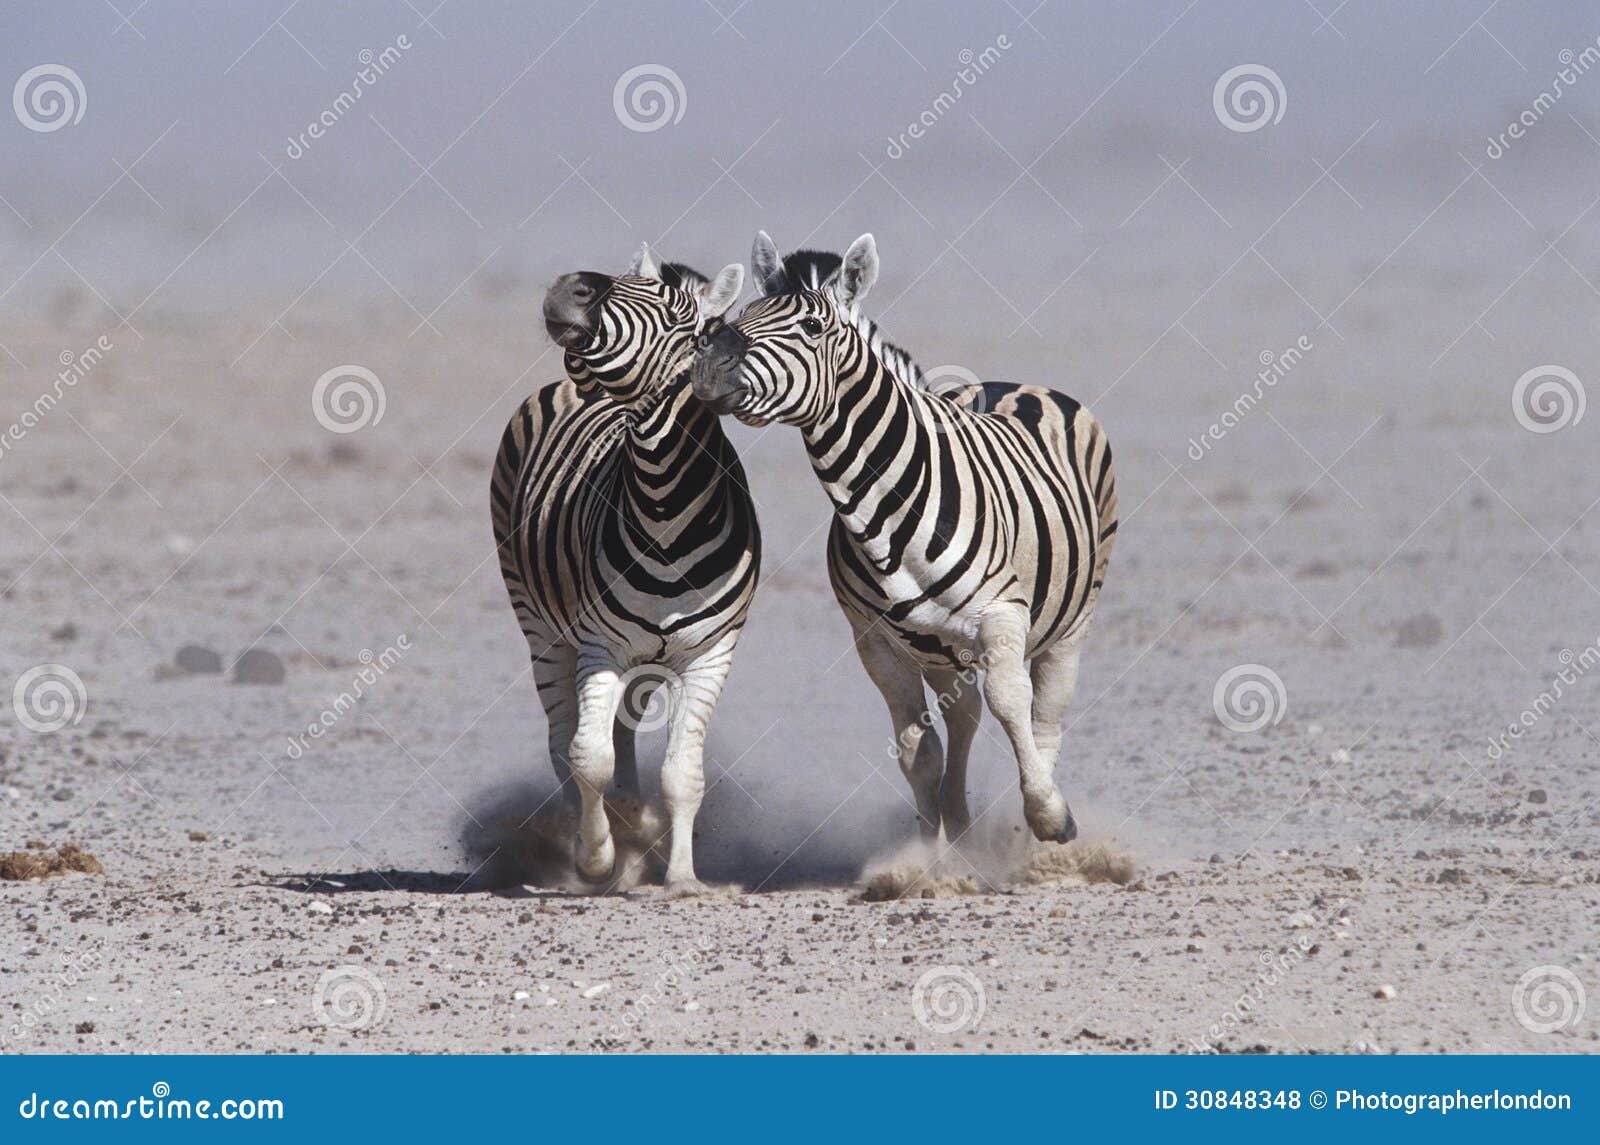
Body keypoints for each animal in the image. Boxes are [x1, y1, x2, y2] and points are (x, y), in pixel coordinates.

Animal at [491, 244, 757, 894]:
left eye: (672, 310)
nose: (571, 285)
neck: (664, 506)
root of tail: (566, 384)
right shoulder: (598, 648)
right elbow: (588, 758)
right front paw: (594, 859)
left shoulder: (708, 655)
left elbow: (681, 772)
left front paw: (681, 878)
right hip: (541, 628)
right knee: (563, 738)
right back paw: (586, 845)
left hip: (643, 660)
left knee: (624, 733)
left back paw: (635, 833)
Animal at [694, 232, 1116, 847]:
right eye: (743, 315)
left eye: (813, 328)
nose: (709, 369)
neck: (885, 511)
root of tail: (1011, 383)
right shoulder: (874, 640)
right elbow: (917, 749)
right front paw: (927, 854)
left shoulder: (1002, 616)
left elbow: (1011, 703)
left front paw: (1048, 816)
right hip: (940, 648)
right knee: (964, 717)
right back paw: (960, 825)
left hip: (1071, 621)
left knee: (1045, 717)